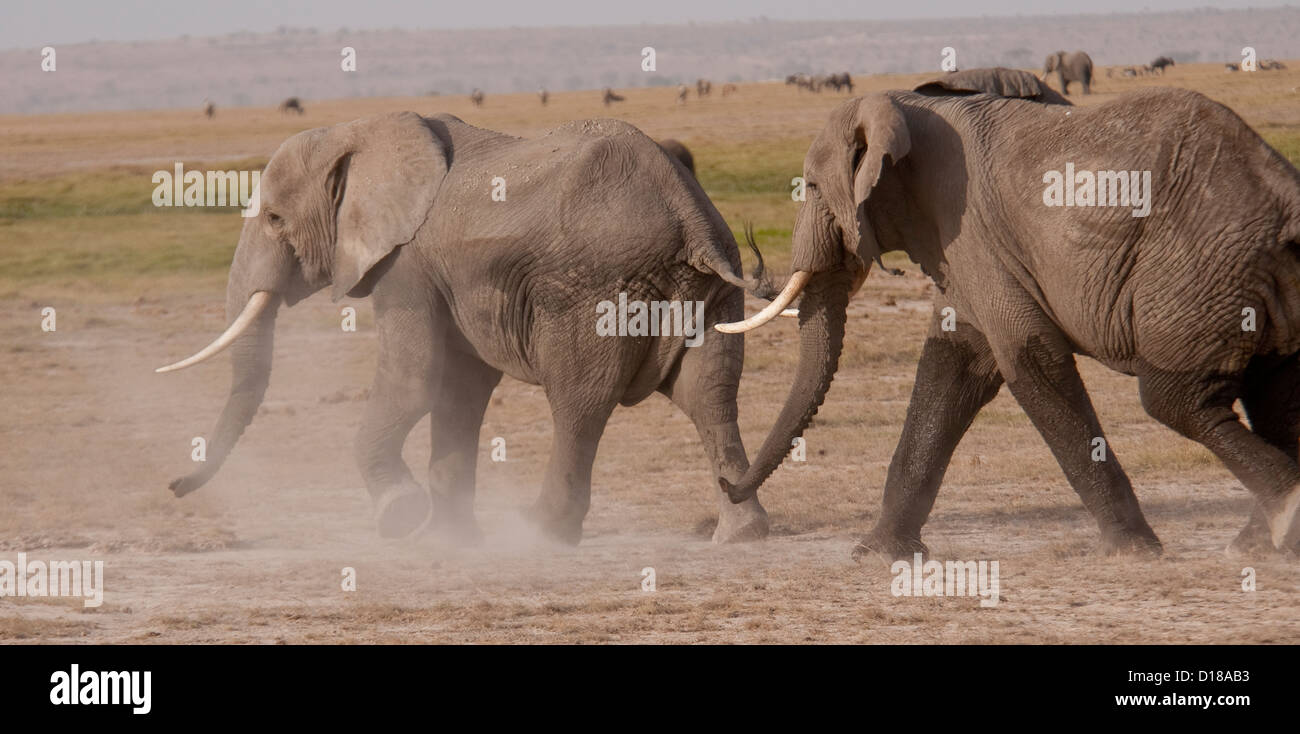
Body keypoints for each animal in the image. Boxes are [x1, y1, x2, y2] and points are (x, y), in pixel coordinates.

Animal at [156, 111, 771, 546]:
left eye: (275, 219)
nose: (173, 485)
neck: (357, 131)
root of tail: (688, 214)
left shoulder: (404, 265)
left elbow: (414, 380)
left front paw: (401, 519)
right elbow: (459, 390)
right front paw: (448, 538)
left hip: (597, 291)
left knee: (579, 402)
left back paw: (541, 533)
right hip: (707, 293)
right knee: (709, 393)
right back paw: (741, 535)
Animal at [713, 73, 1300, 558]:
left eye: (811, 188)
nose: (724, 487)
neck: (908, 107)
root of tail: (1282, 196)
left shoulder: (974, 233)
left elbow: (1029, 358)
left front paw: (1131, 552)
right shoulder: (965, 252)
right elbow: (953, 368)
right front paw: (875, 555)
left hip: (1197, 267)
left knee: (1175, 398)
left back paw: (1279, 520)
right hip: (1247, 277)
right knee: (1275, 390)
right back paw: (1261, 541)